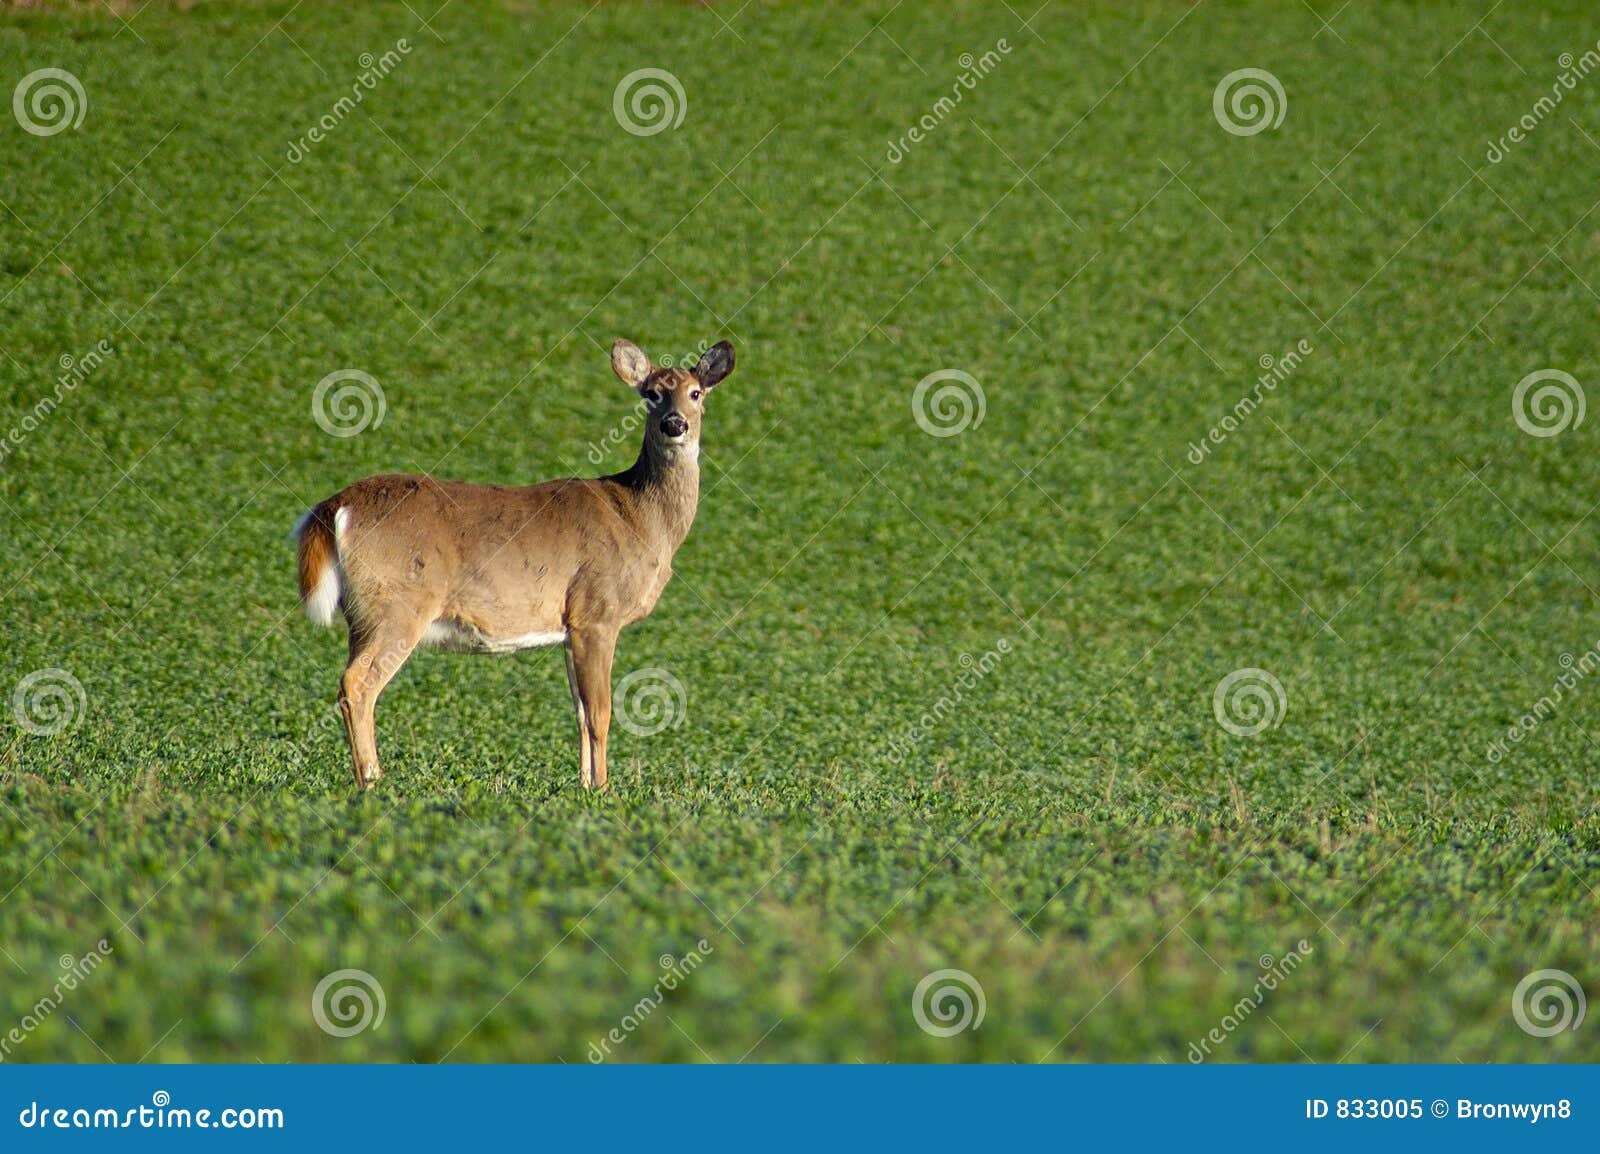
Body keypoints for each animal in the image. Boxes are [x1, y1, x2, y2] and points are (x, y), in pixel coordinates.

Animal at [292, 338, 735, 791]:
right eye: (651, 394)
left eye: (696, 393)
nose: (675, 425)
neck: (639, 515)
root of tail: (335, 507)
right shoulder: (597, 612)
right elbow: (601, 712)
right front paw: (604, 788)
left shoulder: (571, 625)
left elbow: (579, 711)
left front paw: (584, 786)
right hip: (397, 605)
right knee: (357, 683)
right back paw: (374, 781)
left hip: (362, 616)